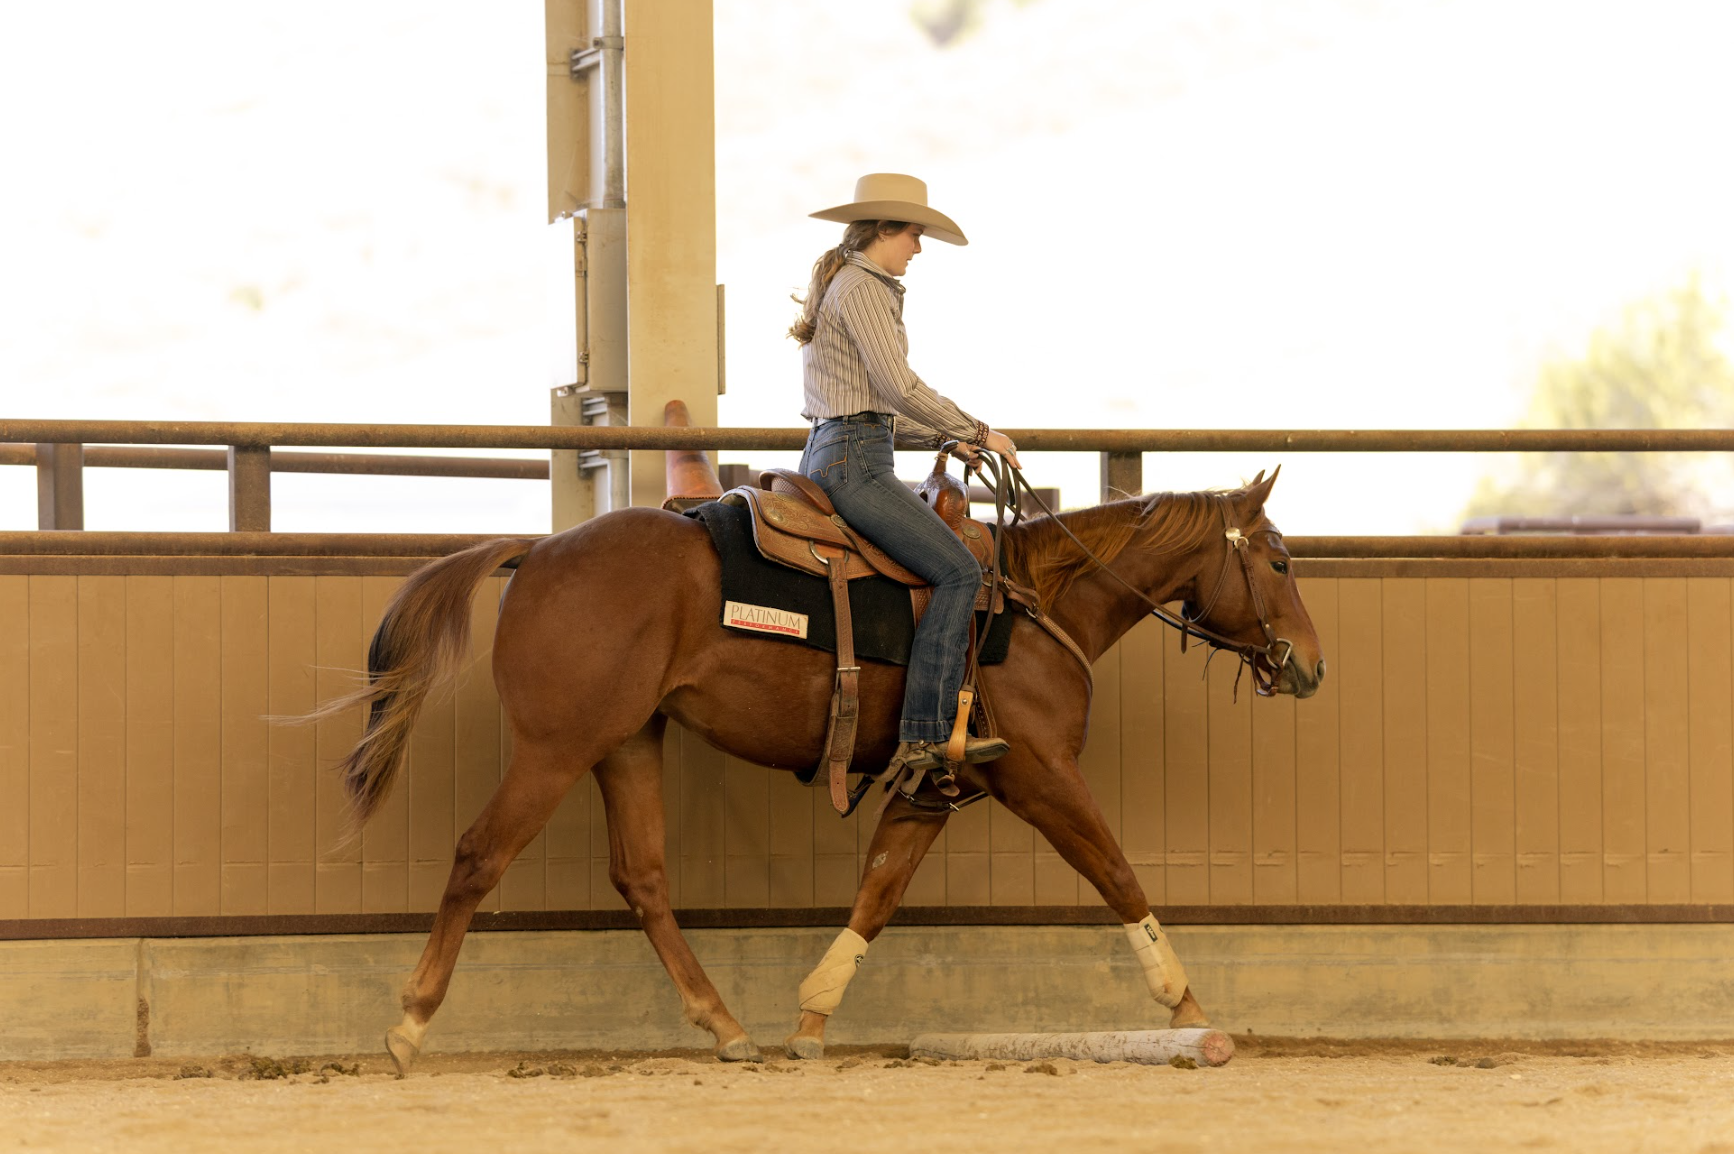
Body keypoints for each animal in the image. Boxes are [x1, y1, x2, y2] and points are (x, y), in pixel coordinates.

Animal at [321, 467, 1325, 1074]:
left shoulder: (936, 790)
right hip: (555, 748)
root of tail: (535, 551)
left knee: (642, 878)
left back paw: (726, 1027)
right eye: (1279, 559)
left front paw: (810, 1018)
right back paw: (409, 1025)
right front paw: (1187, 1006)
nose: (1309, 666)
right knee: (478, 856)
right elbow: (1117, 874)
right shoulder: (1041, 775)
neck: (1036, 601)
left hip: (627, 742)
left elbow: (877, 893)